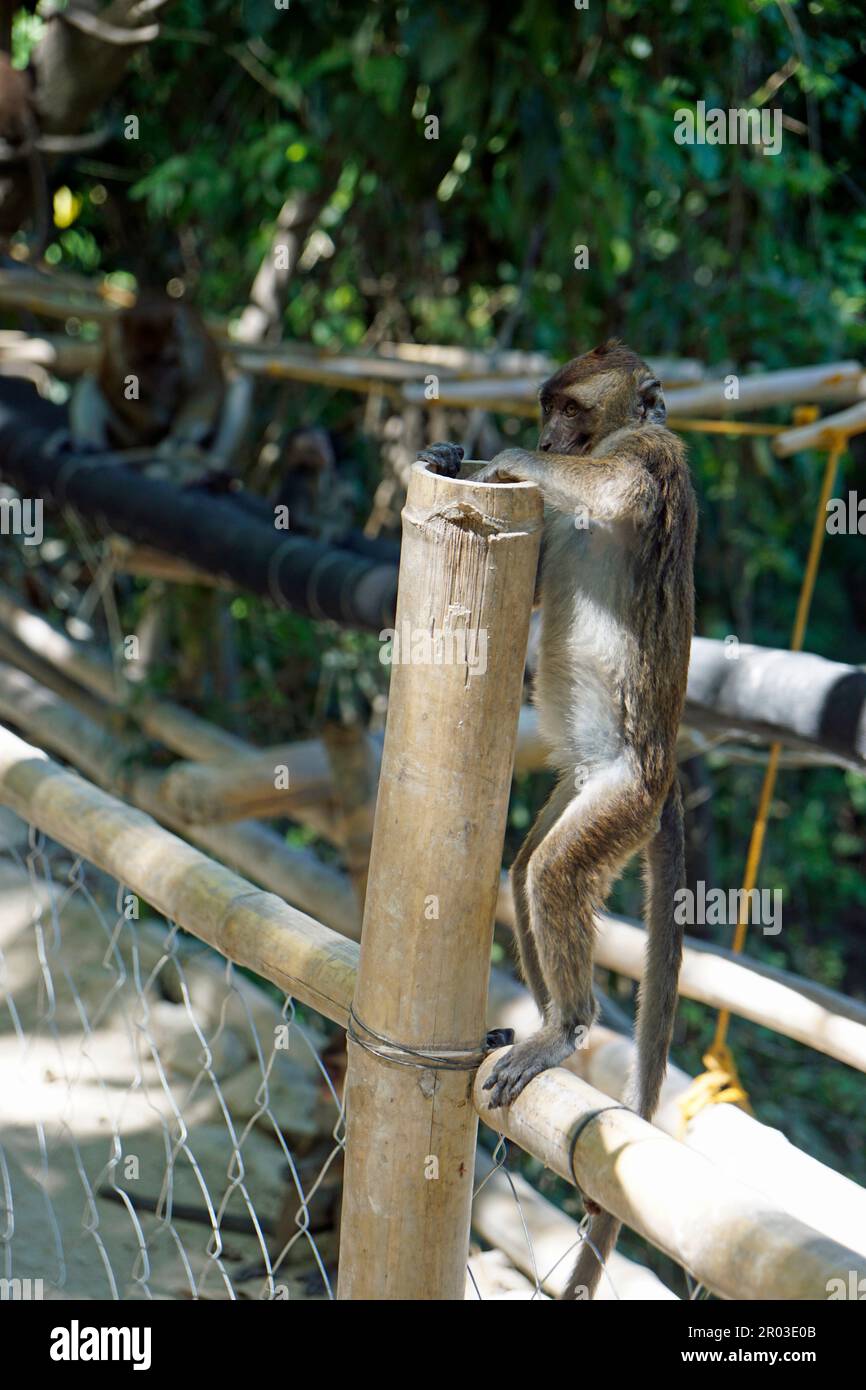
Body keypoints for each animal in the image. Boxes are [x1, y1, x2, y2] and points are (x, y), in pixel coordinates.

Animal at [419, 340, 696, 1300]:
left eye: (567, 413)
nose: (545, 440)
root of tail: (662, 769)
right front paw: (459, 455)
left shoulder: (657, 461)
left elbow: (610, 492)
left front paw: (496, 458)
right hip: (582, 792)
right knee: (526, 869)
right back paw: (539, 1025)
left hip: (620, 798)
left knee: (555, 873)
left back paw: (571, 1027)